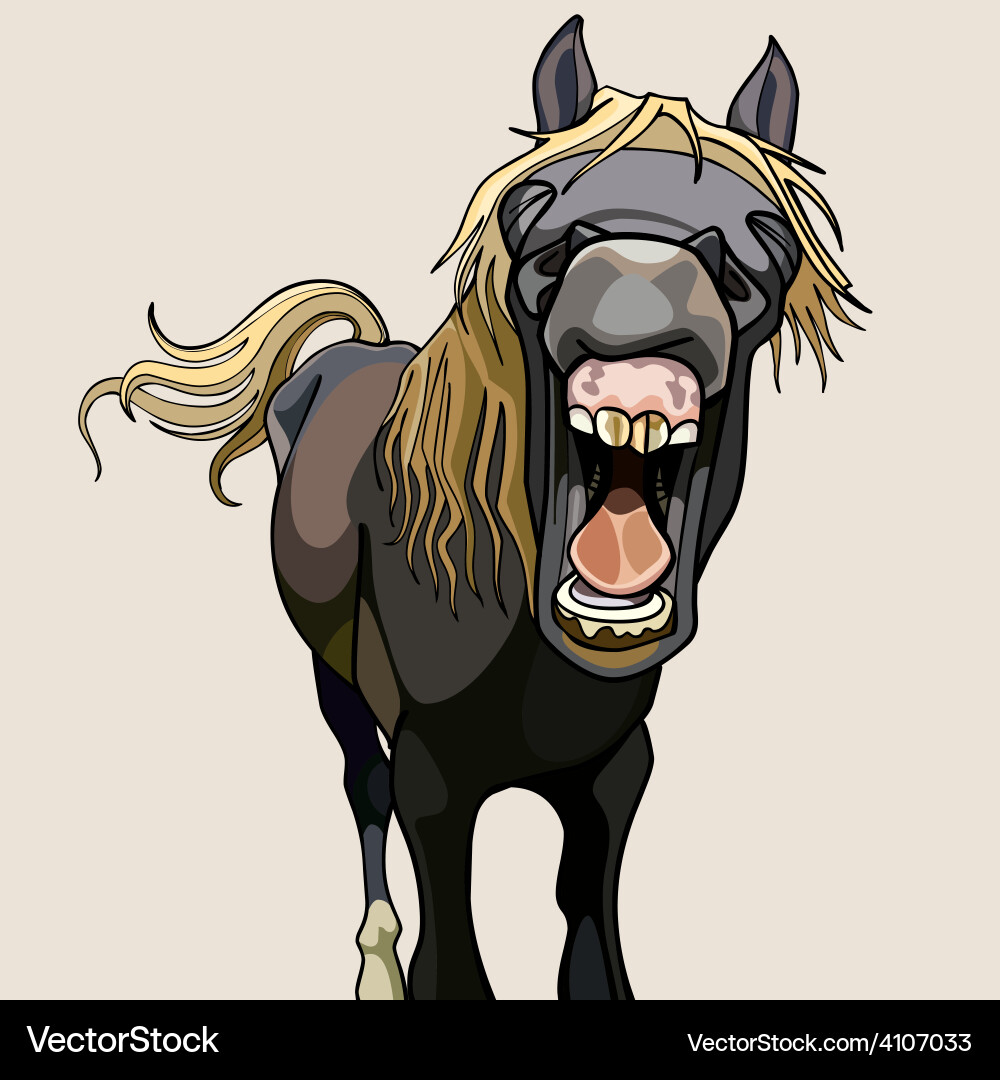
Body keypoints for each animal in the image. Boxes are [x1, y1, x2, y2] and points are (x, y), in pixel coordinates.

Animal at [78, 16, 865, 1000]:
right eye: (537, 209)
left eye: (765, 230)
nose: (638, 280)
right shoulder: (436, 778)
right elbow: (447, 955)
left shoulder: (612, 776)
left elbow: (590, 953)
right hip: (333, 676)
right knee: (362, 789)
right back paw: (373, 962)